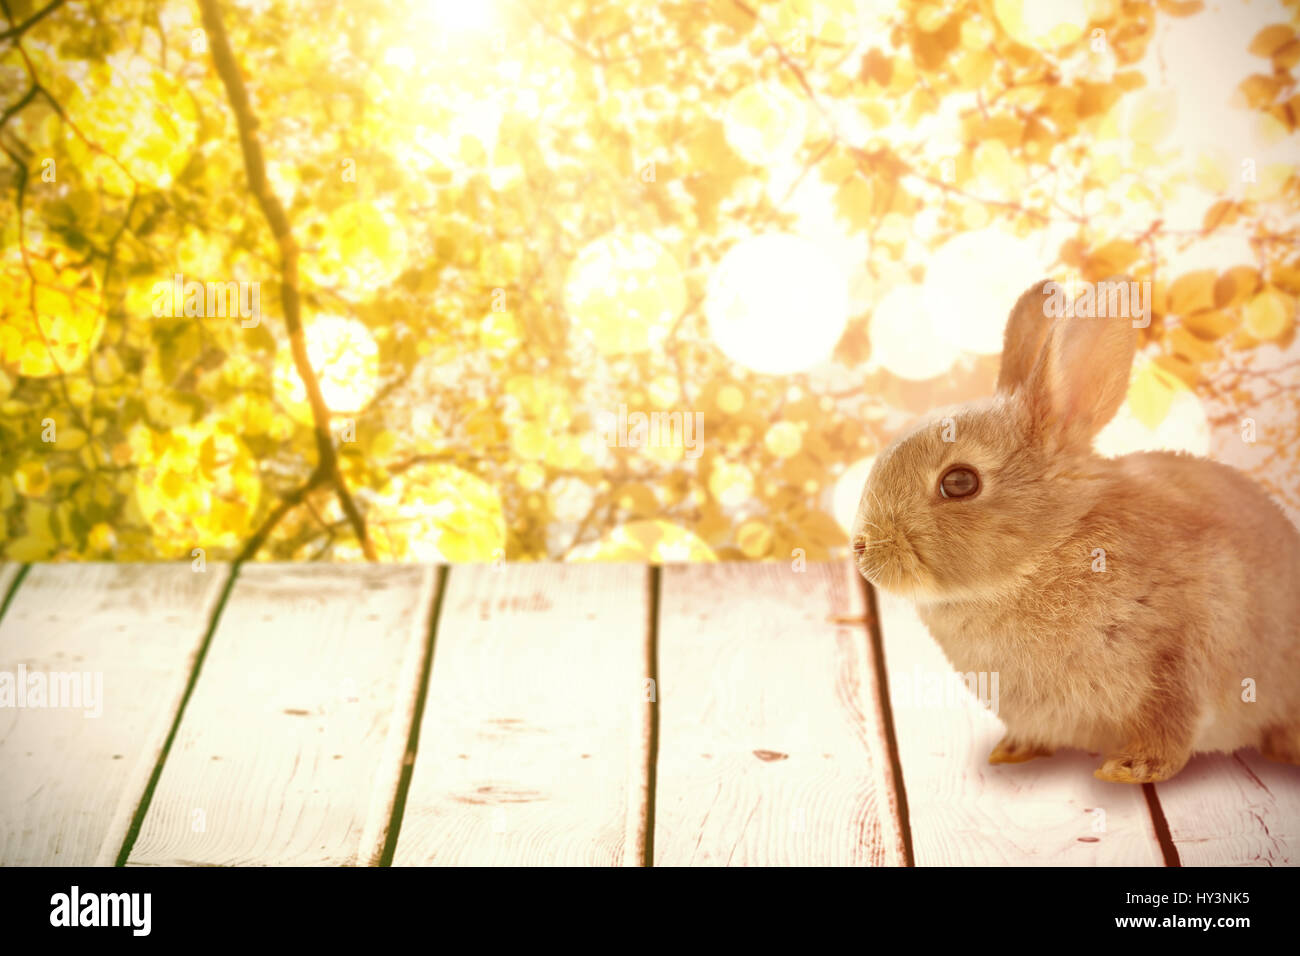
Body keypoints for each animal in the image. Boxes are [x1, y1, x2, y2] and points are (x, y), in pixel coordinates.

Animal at [850, 278, 1300, 783]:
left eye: (960, 482)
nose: (862, 547)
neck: (1051, 546)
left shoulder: (1185, 658)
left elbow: (1171, 724)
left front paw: (1129, 769)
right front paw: (1012, 752)